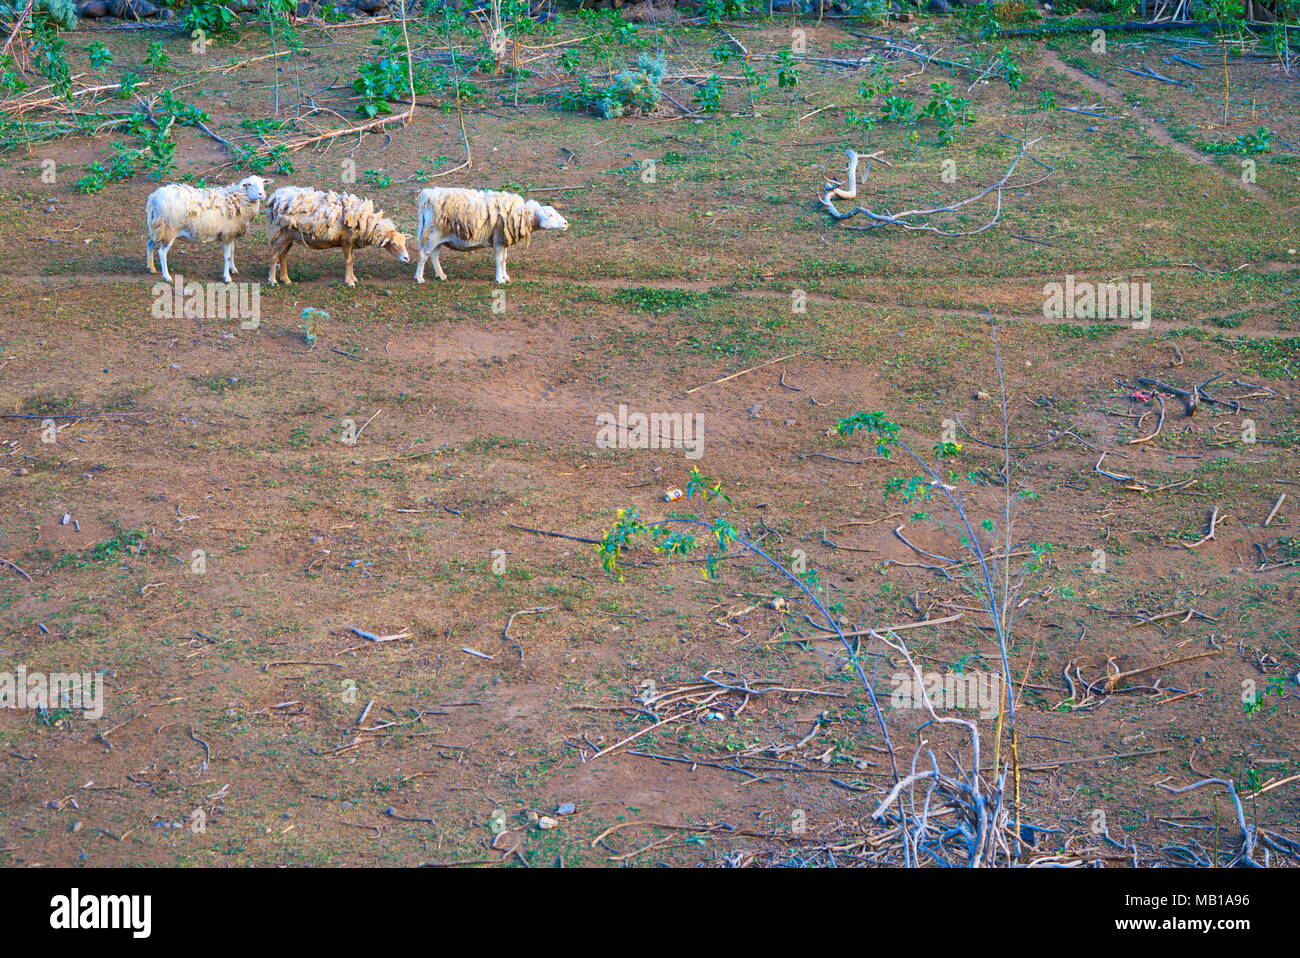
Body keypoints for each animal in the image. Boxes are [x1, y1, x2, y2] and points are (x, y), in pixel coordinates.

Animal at [264, 186, 411, 287]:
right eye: (393, 244)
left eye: (404, 243)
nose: (407, 258)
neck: (366, 222)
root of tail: (275, 197)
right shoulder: (346, 241)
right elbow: (349, 261)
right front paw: (350, 282)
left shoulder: (351, 243)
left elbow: (352, 259)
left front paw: (353, 278)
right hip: (280, 234)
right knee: (274, 256)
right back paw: (272, 281)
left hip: (289, 237)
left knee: (283, 256)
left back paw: (286, 280)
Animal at [414, 187, 569, 285]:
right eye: (550, 215)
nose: (566, 223)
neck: (520, 214)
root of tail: (426, 196)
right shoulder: (498, 240)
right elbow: (499, 260)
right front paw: (500, 279)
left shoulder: (503, 240)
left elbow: (504, 259)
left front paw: (505, 276)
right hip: (433, 233)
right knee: (423, 254)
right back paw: (419, 278)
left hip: (438, 236)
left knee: (434, 254)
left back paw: (440, 275)